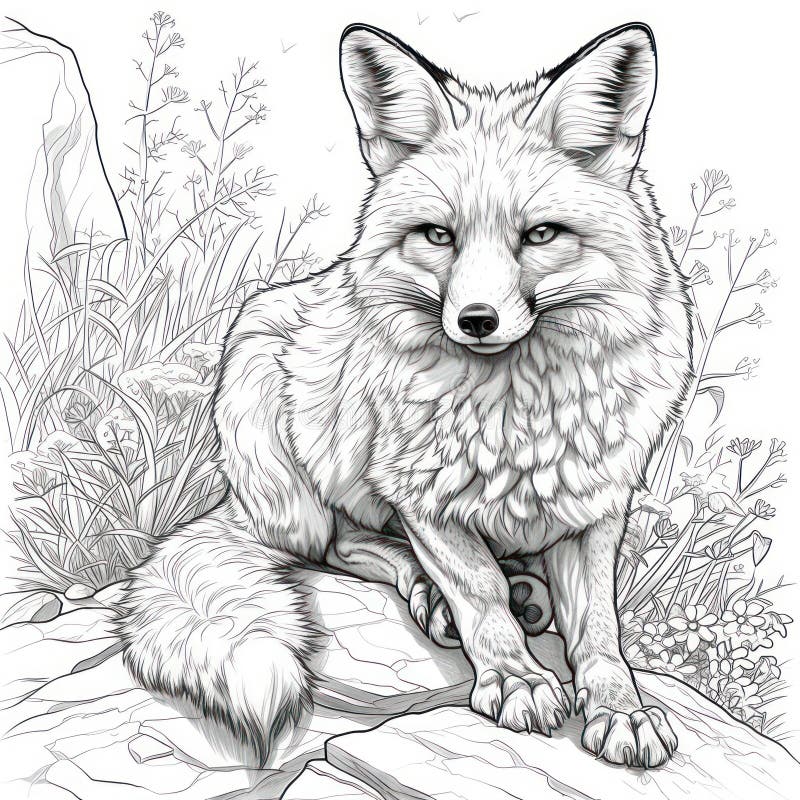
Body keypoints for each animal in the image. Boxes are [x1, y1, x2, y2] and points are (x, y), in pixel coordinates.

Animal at [119, 21, 692, 770]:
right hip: (277, 425)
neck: (516, 416)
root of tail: (239, 504)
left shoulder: (594, 500)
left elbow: (598, 627)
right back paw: (432, 591)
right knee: (340, 546)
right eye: (438, 235)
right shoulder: (419, 492)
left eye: (540, 234)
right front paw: (514, 676)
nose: (476, 320)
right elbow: (478, 590)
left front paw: (622, 710)